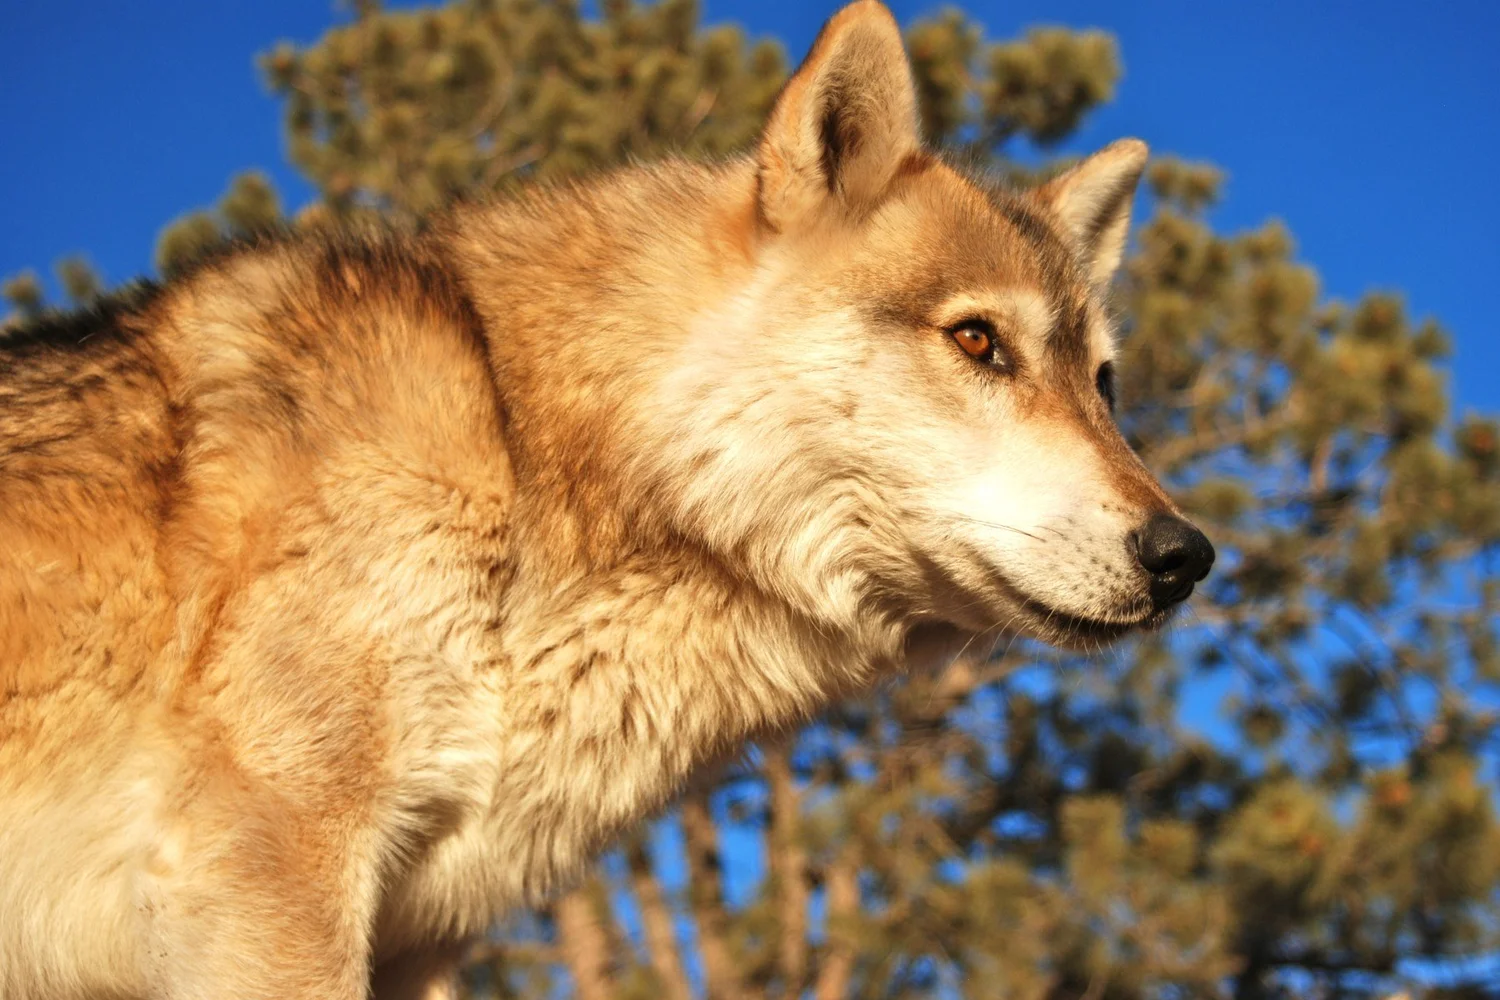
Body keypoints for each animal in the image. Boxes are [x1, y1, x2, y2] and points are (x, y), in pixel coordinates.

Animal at [0, 2, 1213, 997]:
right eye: (977, 340)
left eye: (1105, 385)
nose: (1187, 556)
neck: (519, 445)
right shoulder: (269, 868)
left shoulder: (412, 943)